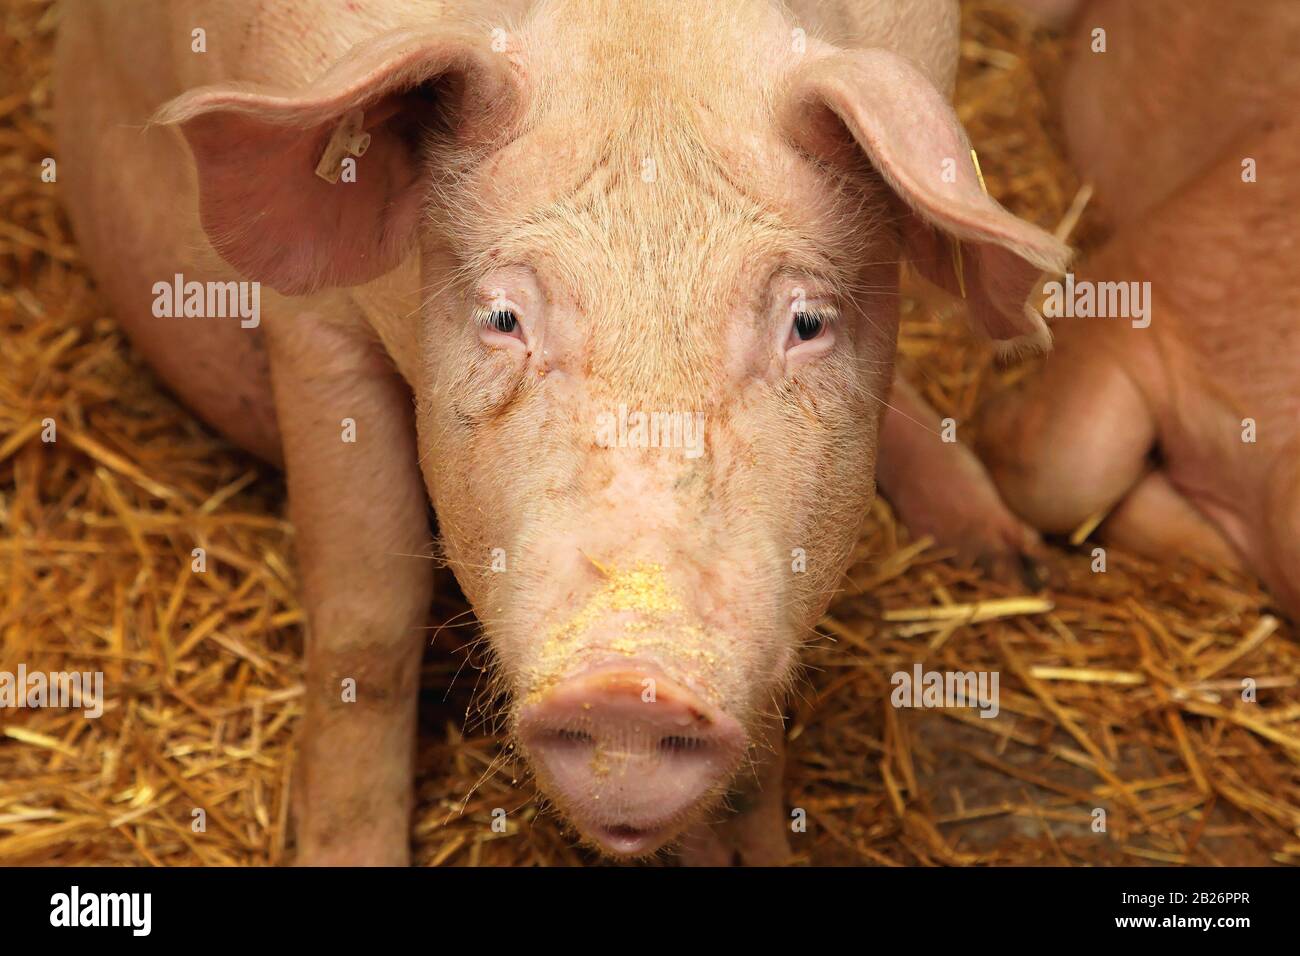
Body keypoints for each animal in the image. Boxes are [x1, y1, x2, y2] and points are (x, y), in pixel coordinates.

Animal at [54, 0, 1067, 864]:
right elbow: (366, 631)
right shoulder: (315, 328)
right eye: (503, 317)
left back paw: (1008, 556)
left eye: (808, 323)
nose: (631, 689)